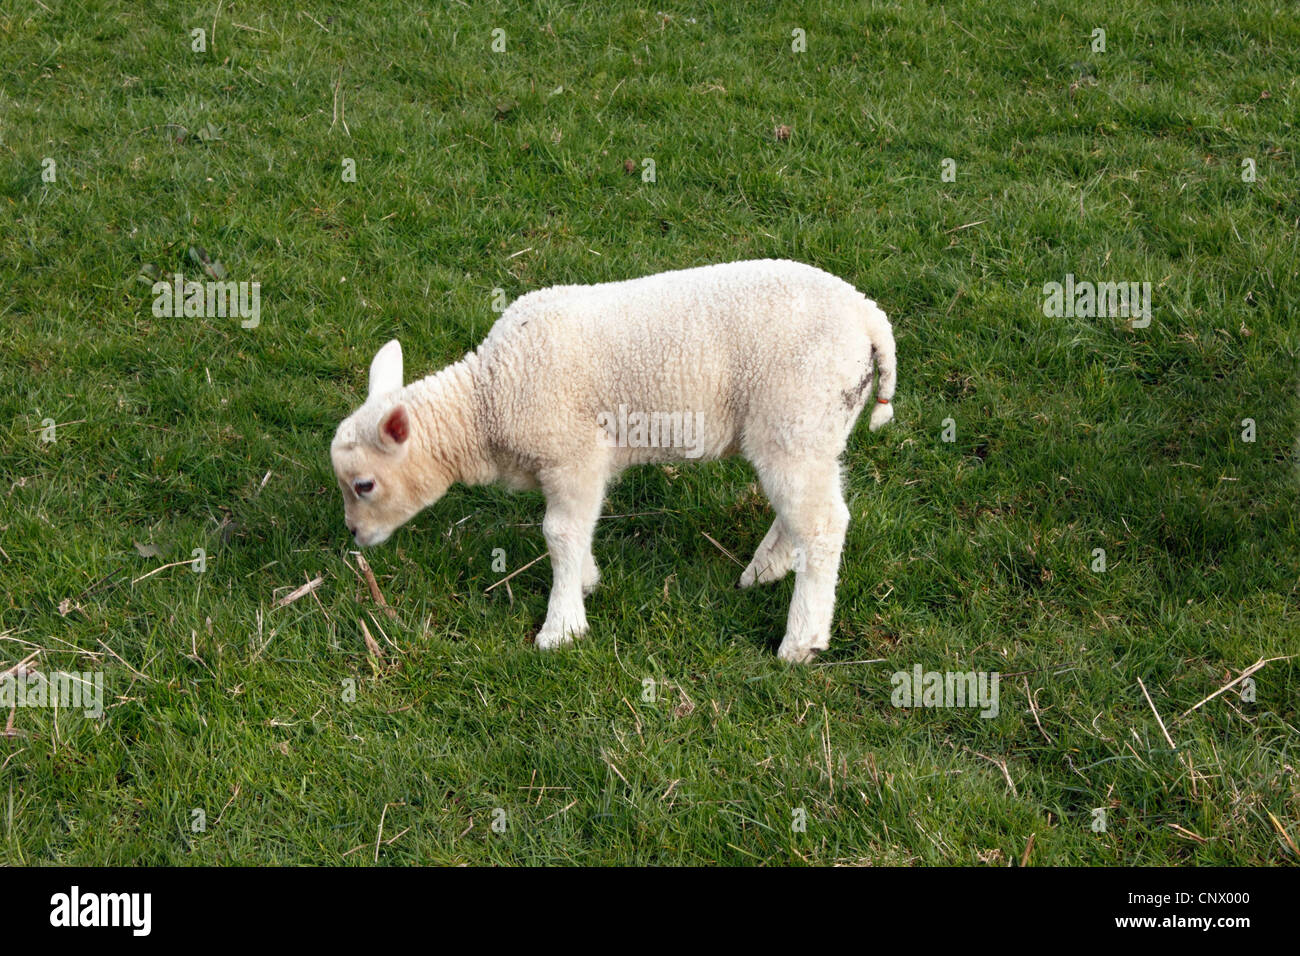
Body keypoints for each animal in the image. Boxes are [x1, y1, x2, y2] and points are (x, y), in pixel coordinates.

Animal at [331, 258, 896, 662]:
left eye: (364, 485)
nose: (354, 536)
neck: (487, 402)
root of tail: (870, 317)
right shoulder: (573, 464)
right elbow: (576, 528)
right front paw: (585, 580)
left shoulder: (572, 452)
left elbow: (559, 533)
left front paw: (561, 625)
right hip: (811, 430)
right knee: (801, 511)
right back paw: (764, 571)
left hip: (797, 415)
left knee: (823, 526)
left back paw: (801, 641)